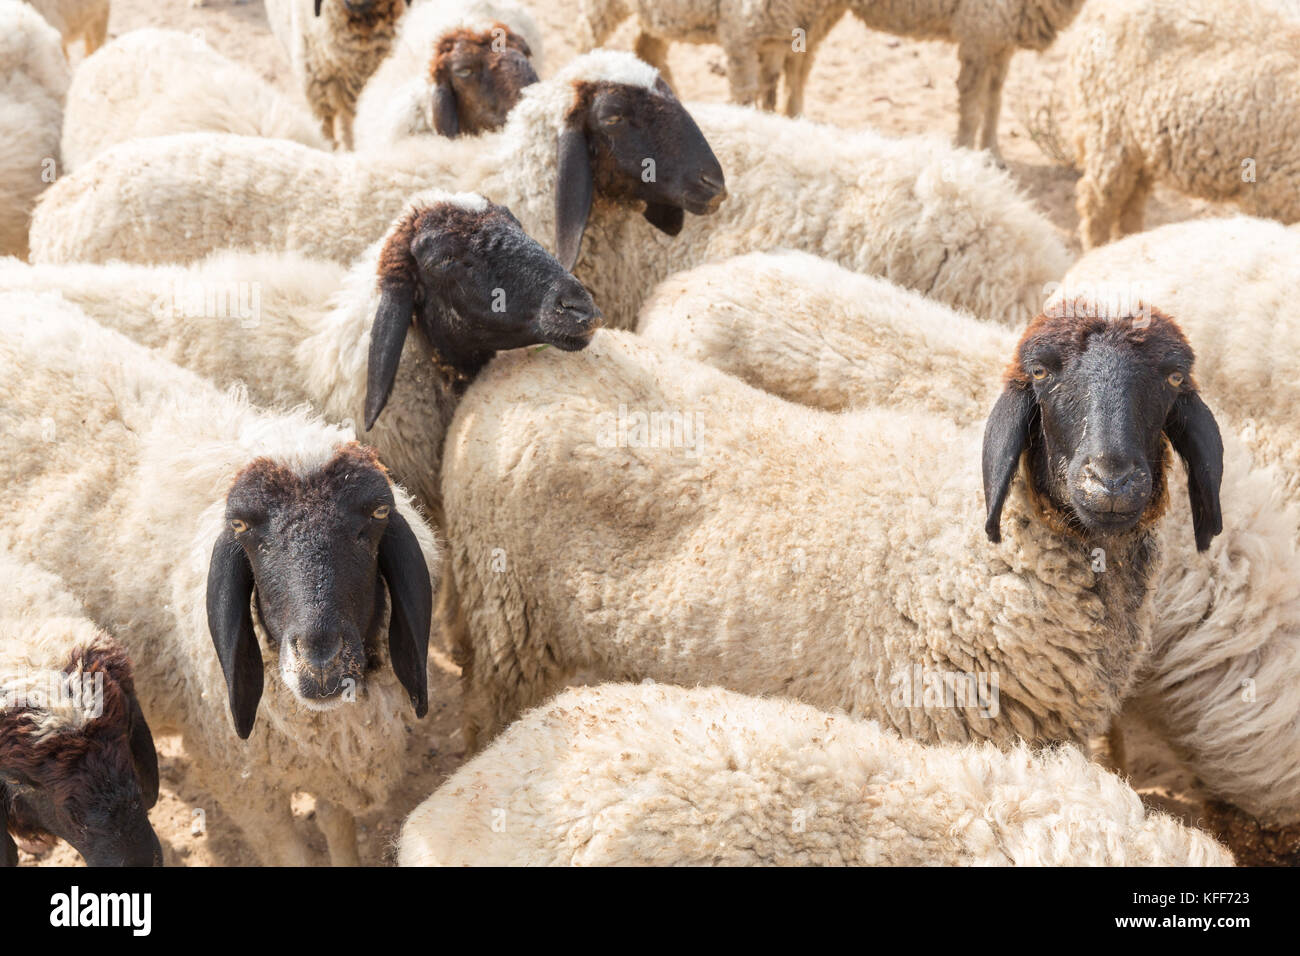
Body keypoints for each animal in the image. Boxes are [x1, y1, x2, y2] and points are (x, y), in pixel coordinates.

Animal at [435, 301, 1225, 754]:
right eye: (1042, 374)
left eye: (1172, 381)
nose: (1111, 482)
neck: (989, 554)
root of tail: (509, 372)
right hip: (510, 635)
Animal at [574, 0, 849, 117]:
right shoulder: (742, 35)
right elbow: (749, 93)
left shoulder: (781, 38)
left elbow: (778, 87)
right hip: (603, 6)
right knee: (588, 35)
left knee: (648, 47)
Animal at [842, 0, 1087, 159]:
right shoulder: (978, 32)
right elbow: (971, 109)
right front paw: (966, 156)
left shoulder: (1000, 39)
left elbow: (994, 101)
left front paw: (992, 155)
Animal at [1062, 0, 1300, 248]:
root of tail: (1091, 11)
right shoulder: (1274, 193)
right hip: (1106, 127)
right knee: (1096, 200)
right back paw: (1097, 249)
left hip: (1140, 144)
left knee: (1131, 200)